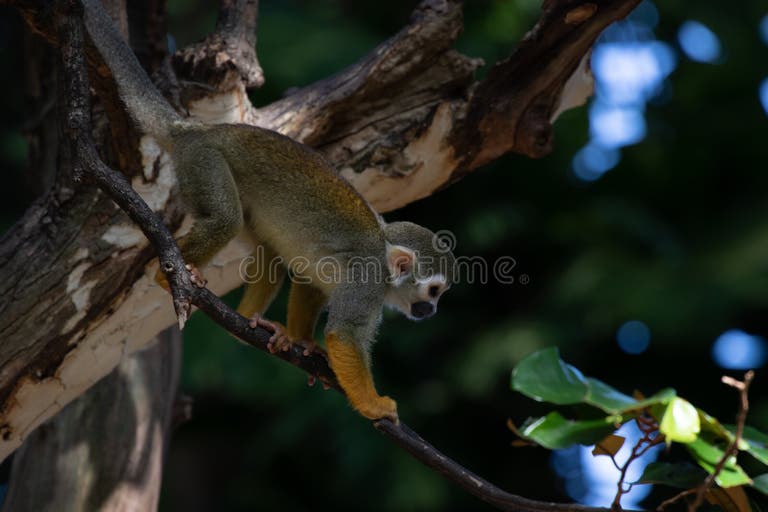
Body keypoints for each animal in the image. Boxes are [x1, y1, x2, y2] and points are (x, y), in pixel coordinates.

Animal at [81, 0, 455, 422]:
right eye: (434, 291)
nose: (432, 310)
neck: (386, 258)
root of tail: (195, 129)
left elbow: (310, 283)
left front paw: (302, 341)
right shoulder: (368, 281)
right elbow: (344, 336)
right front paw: (374, 405)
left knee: (270, 252)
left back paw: (248, 322)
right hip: (204, 161)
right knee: (225, 218)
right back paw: (171, 277)